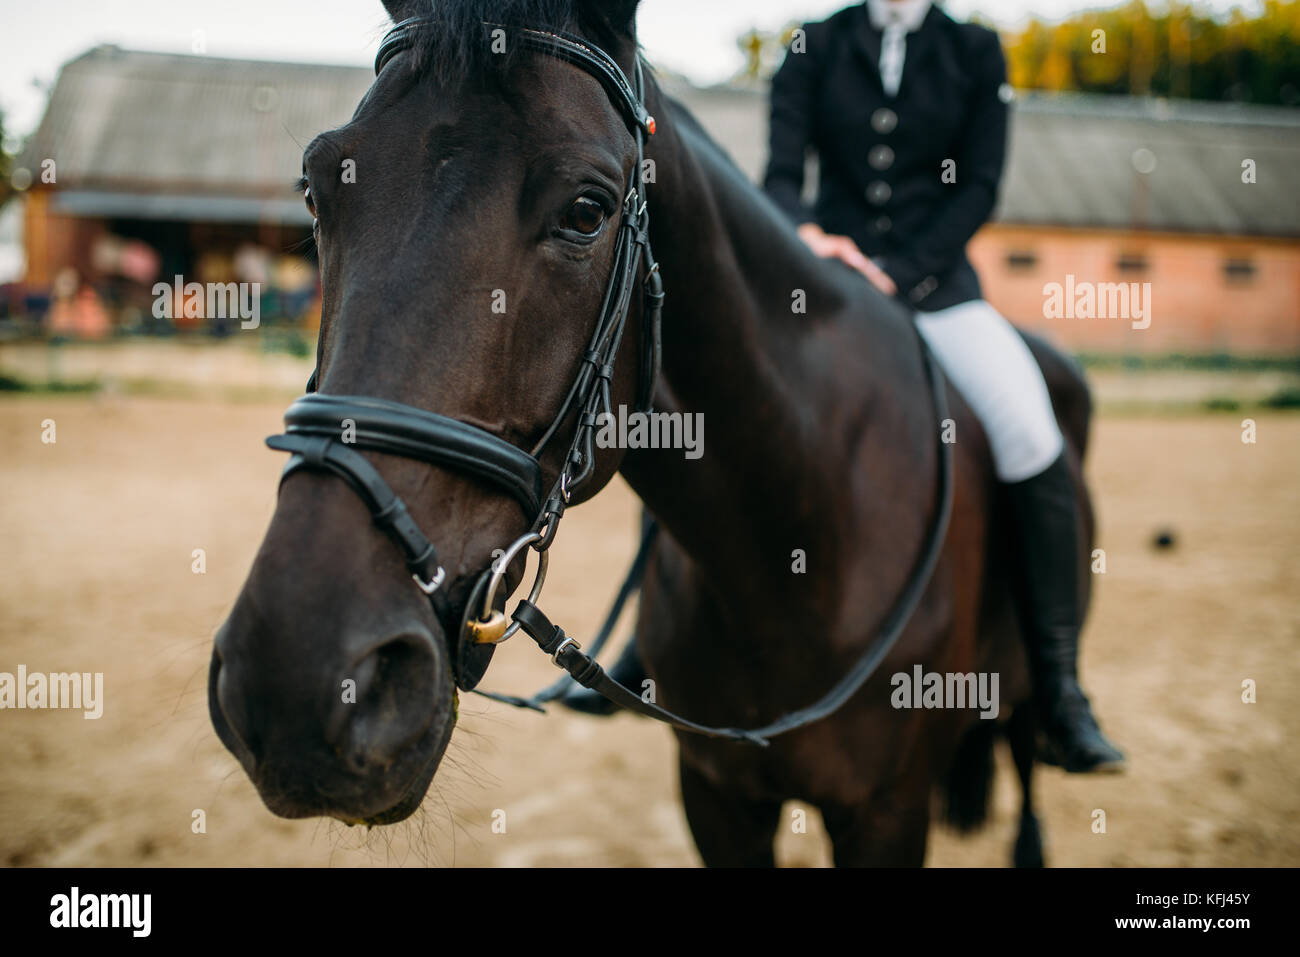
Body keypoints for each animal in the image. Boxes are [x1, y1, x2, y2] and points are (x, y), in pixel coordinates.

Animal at [209, 0, 1096, 865]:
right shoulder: (716, 794)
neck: (800, 546)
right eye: (317, 189)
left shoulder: (886, 811)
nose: (291, 689)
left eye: (587, 211)